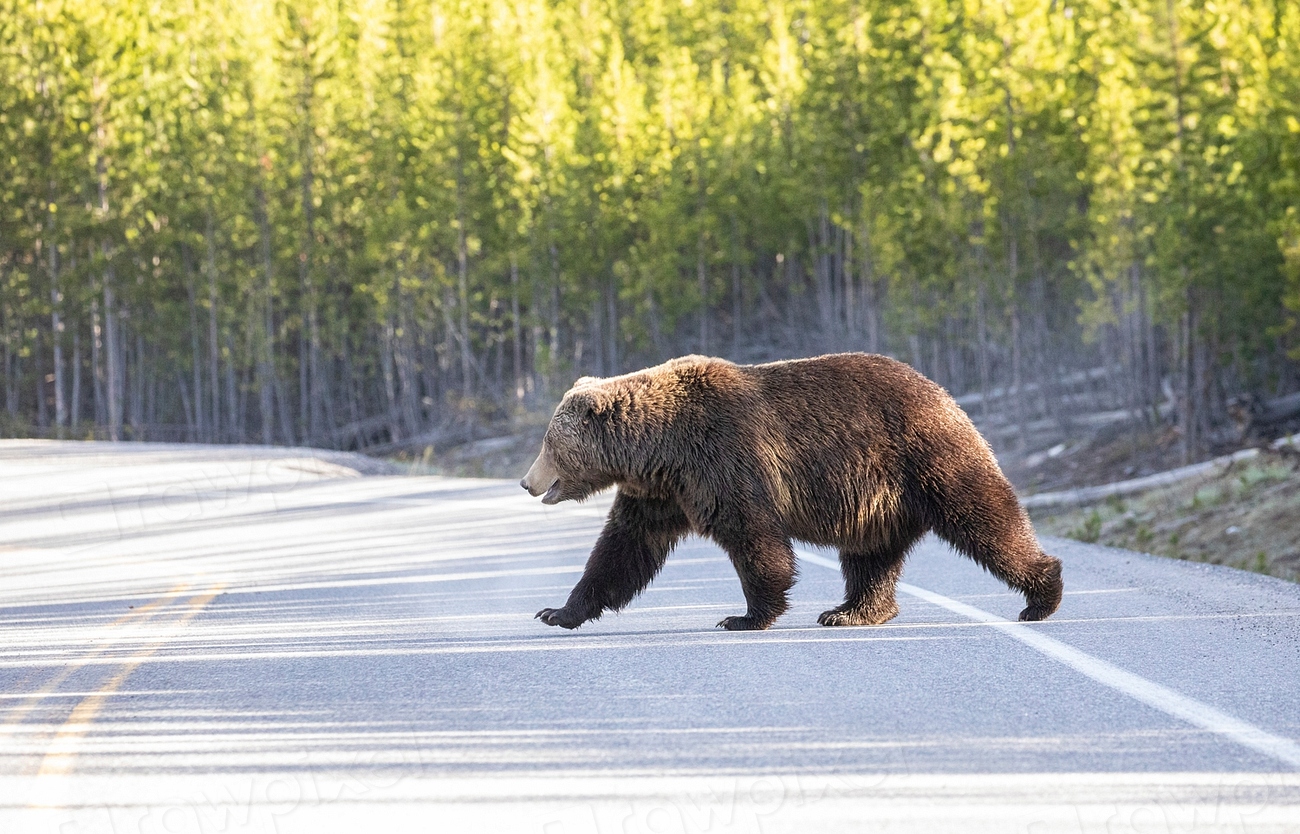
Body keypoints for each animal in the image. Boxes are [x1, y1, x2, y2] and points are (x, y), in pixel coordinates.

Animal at [520, 353, 1063, 631]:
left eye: (548, 442)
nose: (528, 482)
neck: (661, 448)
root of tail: (945, 393)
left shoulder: (724, 458)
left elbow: (754, 538)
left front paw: (745, 616)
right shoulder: (661, 493)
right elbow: (622, 550)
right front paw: (557, 611)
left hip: (924, 455)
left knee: (982, 517)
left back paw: (1042, 594)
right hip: (877, 500)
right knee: (870, 556)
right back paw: (852, 611)